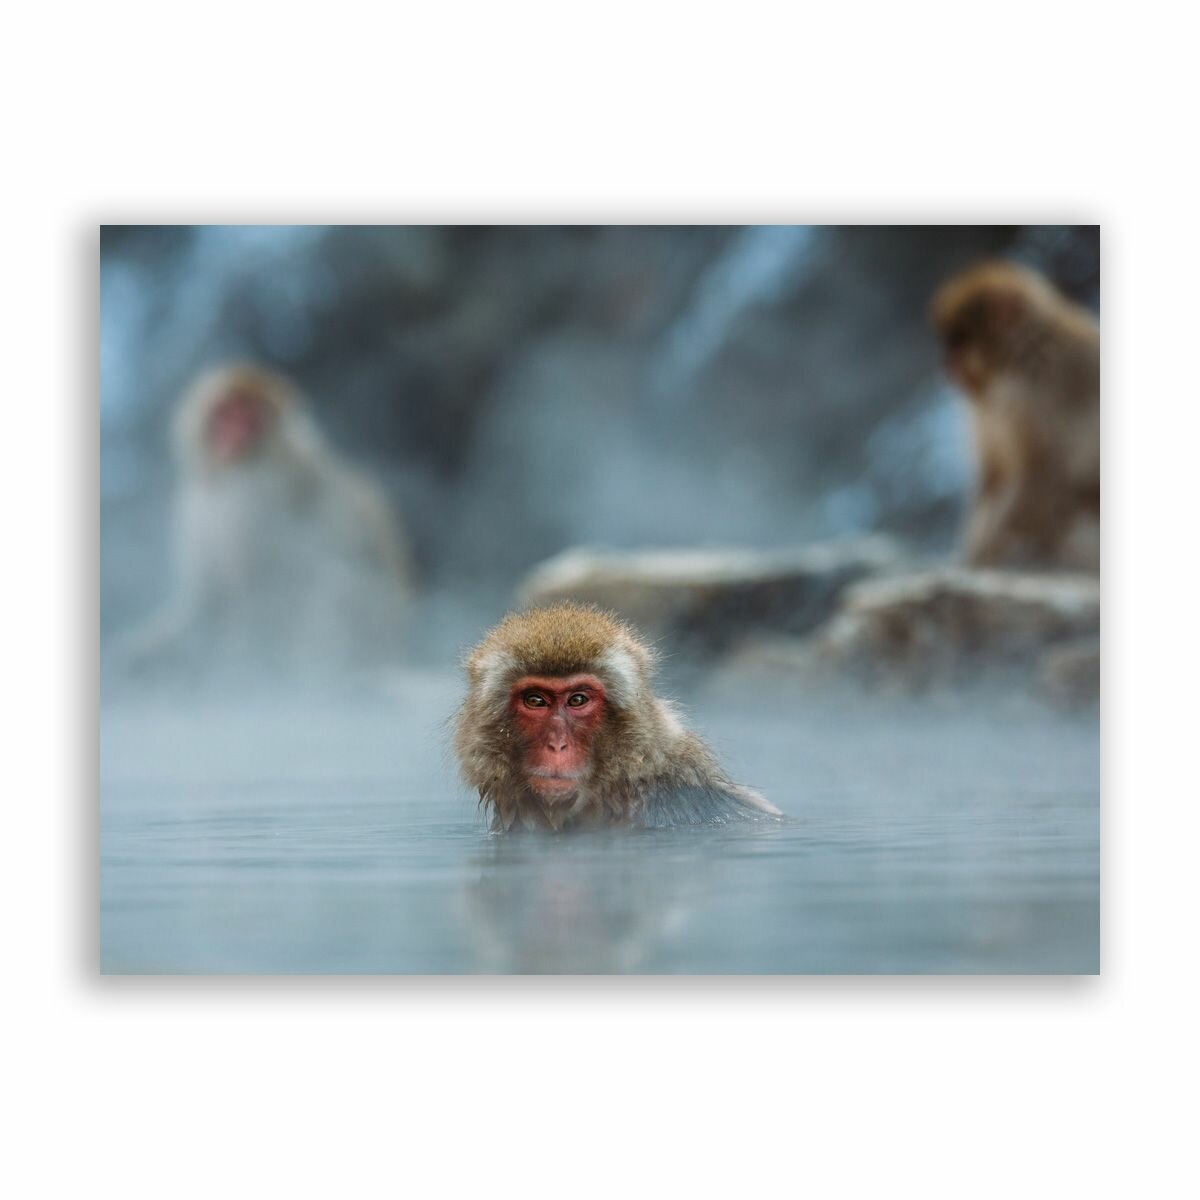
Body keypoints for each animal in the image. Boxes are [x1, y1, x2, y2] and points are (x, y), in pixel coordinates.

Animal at [113, 363, 414, 676]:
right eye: (226, 412)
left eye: (251, 419)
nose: (233, 436)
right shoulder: (195, 507)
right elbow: (204, 605)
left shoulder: (254, 502)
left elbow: (263, 591)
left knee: (333, 585)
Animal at [930, 260, 1100, 572]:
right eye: (948, 341)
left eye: (959, 341)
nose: (945, 362)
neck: (1020, 356)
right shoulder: (987, 408)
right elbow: (992, 476)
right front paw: (971, 554)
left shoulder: (1041, 394)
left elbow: (1045, 475)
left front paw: (983, 555)